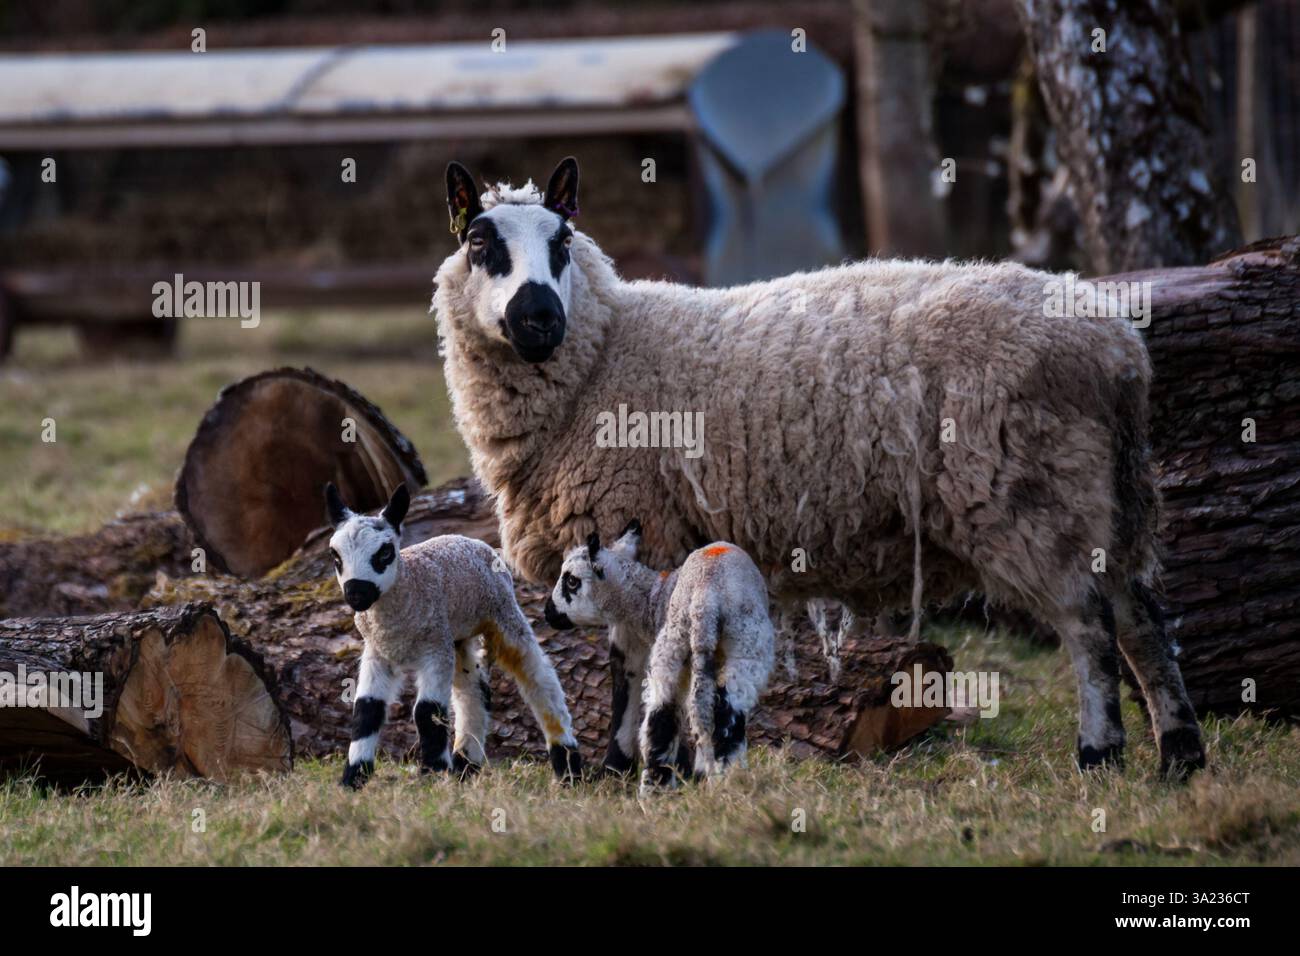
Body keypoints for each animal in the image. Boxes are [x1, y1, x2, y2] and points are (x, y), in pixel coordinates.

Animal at [324, 482, 582, 788]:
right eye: (335, 556)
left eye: (385, 552)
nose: (356, 593)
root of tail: (471, 541)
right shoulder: (378, 652)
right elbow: (367, 710)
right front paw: (352, 780)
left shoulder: (434, 647)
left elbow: (428, 711)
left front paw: (432, 777)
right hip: (456, 635)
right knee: (474, 691)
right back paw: (465, 766)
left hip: (501, 612)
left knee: (538, 678)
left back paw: (568, 767)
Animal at [543, 521, 775, 792]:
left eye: (571, 581)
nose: (548, 612)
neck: (651, 599)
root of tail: (706, 601)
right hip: (736, 649)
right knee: (712, 715)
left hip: (689, 647)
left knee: (671, 716)